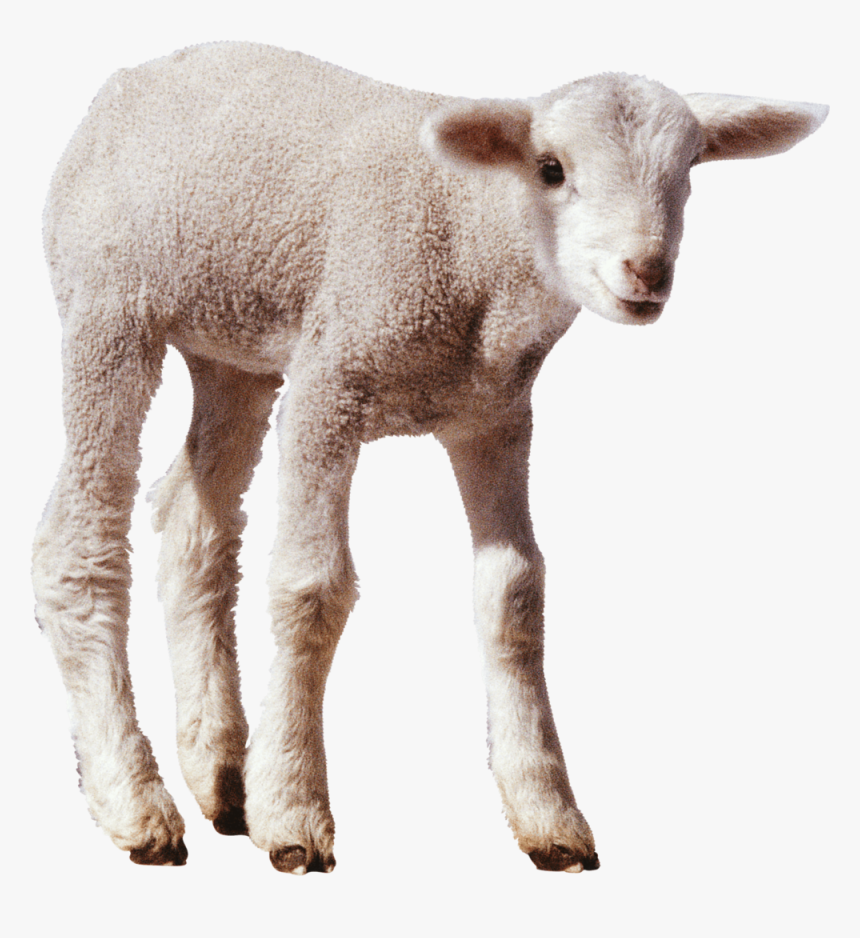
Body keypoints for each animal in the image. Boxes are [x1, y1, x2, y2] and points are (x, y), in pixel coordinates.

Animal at [32, 40, 827, 874]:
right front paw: (294, 813)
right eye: (551, 169)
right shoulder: (330, 379)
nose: (646, 272)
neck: (475, 232)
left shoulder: (494, 418)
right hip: (108, 301)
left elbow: (514, 593)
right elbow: (310, 588)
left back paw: (219, 772)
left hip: (233, 341)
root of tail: (139, 74)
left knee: (196, 522)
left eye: (691, 171)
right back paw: (135, 800)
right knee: (77, 543)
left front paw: (547, 813)